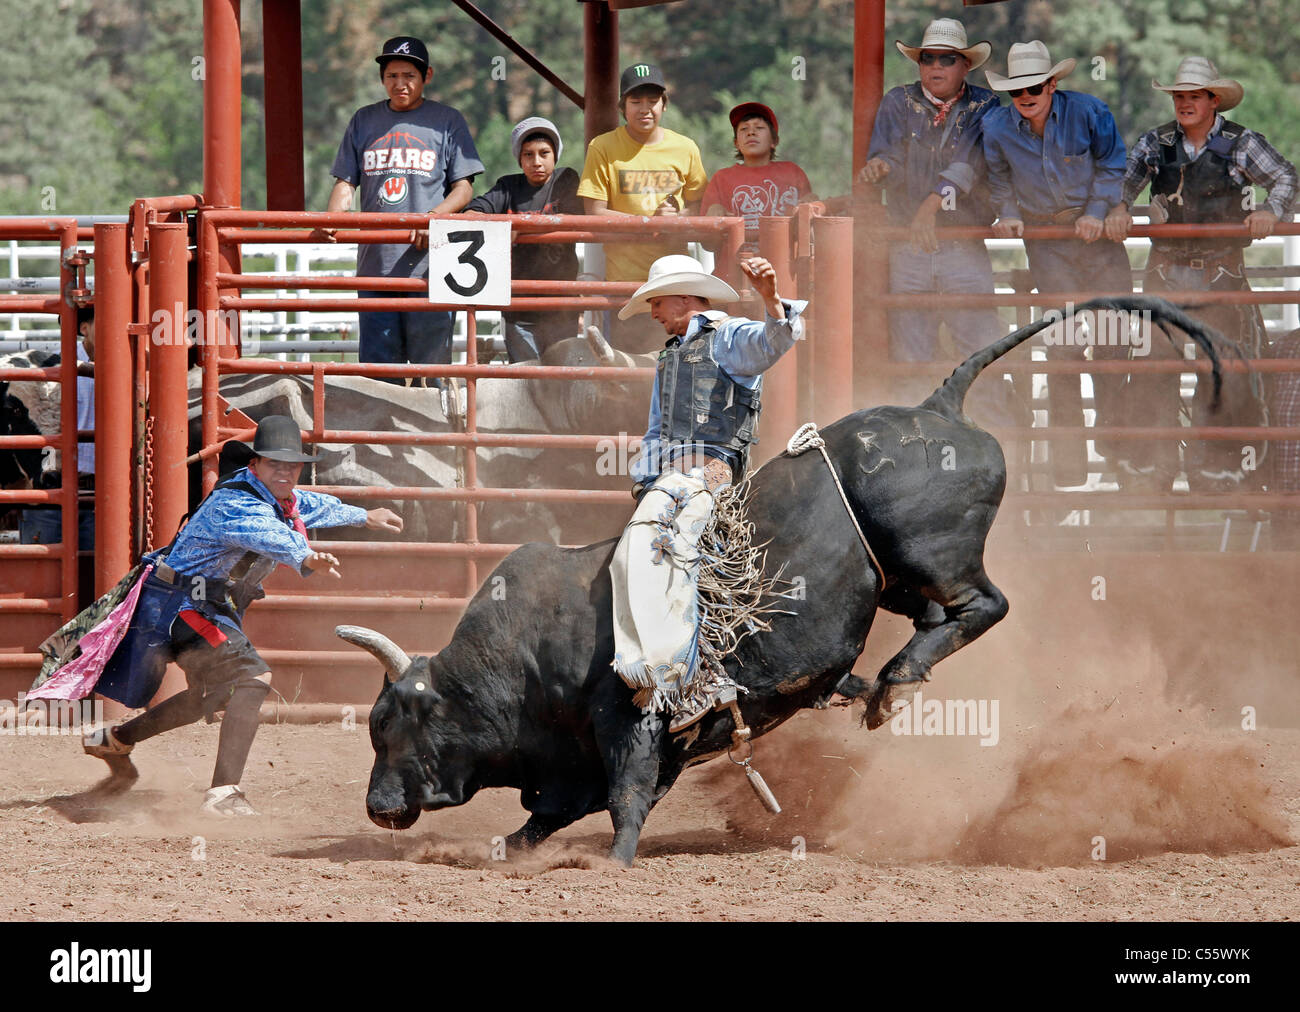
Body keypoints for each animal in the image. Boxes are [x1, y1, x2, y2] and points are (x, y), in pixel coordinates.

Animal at [337, 296, 1226, 865]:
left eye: (393, 724)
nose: (378, 807)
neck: (521, 657)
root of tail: (938, 408)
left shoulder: (629, 718)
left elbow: (624, 795)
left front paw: (607, 863)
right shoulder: (601, 755)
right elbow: (564, 807)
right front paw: (512, 849)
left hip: (933, 552)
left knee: (985, 604)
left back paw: (897, 678)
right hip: (893, 579)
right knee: (932, 619)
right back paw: (872, 685)